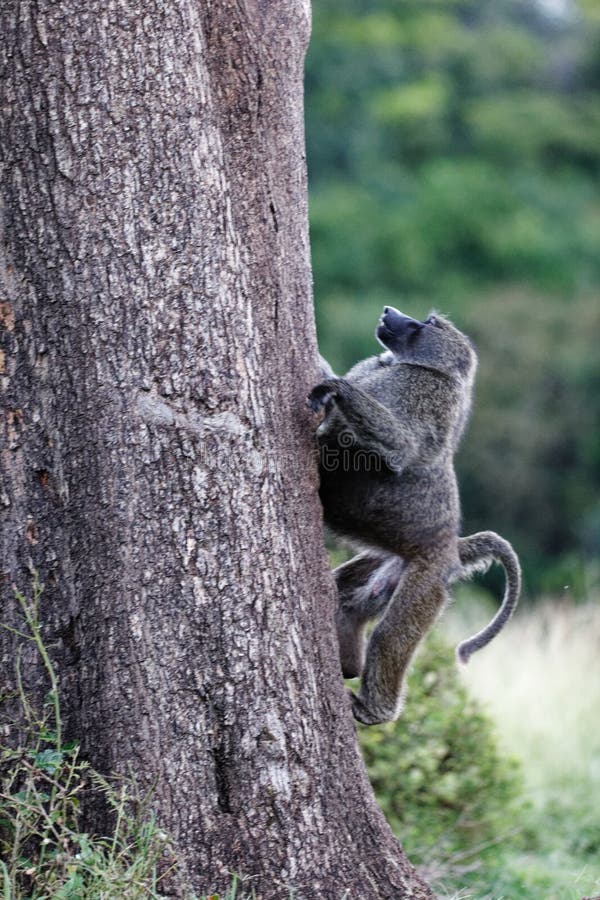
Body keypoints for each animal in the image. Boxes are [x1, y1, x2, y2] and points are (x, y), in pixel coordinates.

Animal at [308, 306, 521, 725]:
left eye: (428, 324)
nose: (389, 311)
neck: (413, 364)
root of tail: (453, 548)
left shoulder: (423, 394)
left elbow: (400, 446)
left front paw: (336, 389)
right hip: (388, 565)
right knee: (344, 596)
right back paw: (347, 667)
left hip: (426, 581)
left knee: (389, 636)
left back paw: (375, 710)